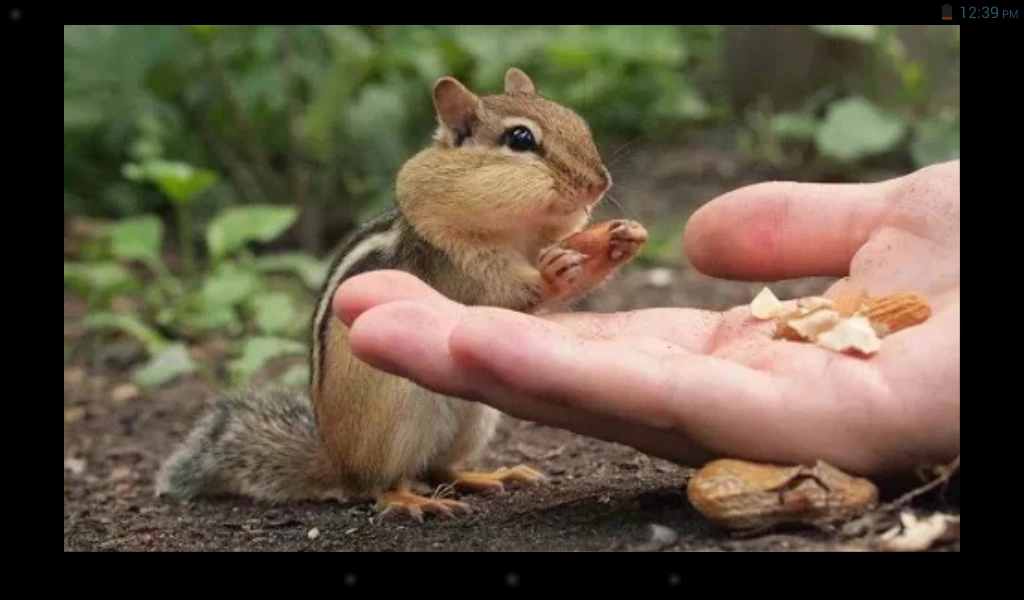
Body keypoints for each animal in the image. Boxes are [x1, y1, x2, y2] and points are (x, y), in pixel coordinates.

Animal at [154, 67, 649, 521]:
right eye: (521, 138)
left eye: (576, 120)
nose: (599, 184)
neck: (520, 232)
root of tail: (337, 460)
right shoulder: (458, 263)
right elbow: (507, 294)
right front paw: (555, 270)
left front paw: (621, 241)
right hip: (394, 419)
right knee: (381, 485)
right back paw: (410, 499)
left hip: (475, 417)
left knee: (440, 469)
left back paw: (489, 475)